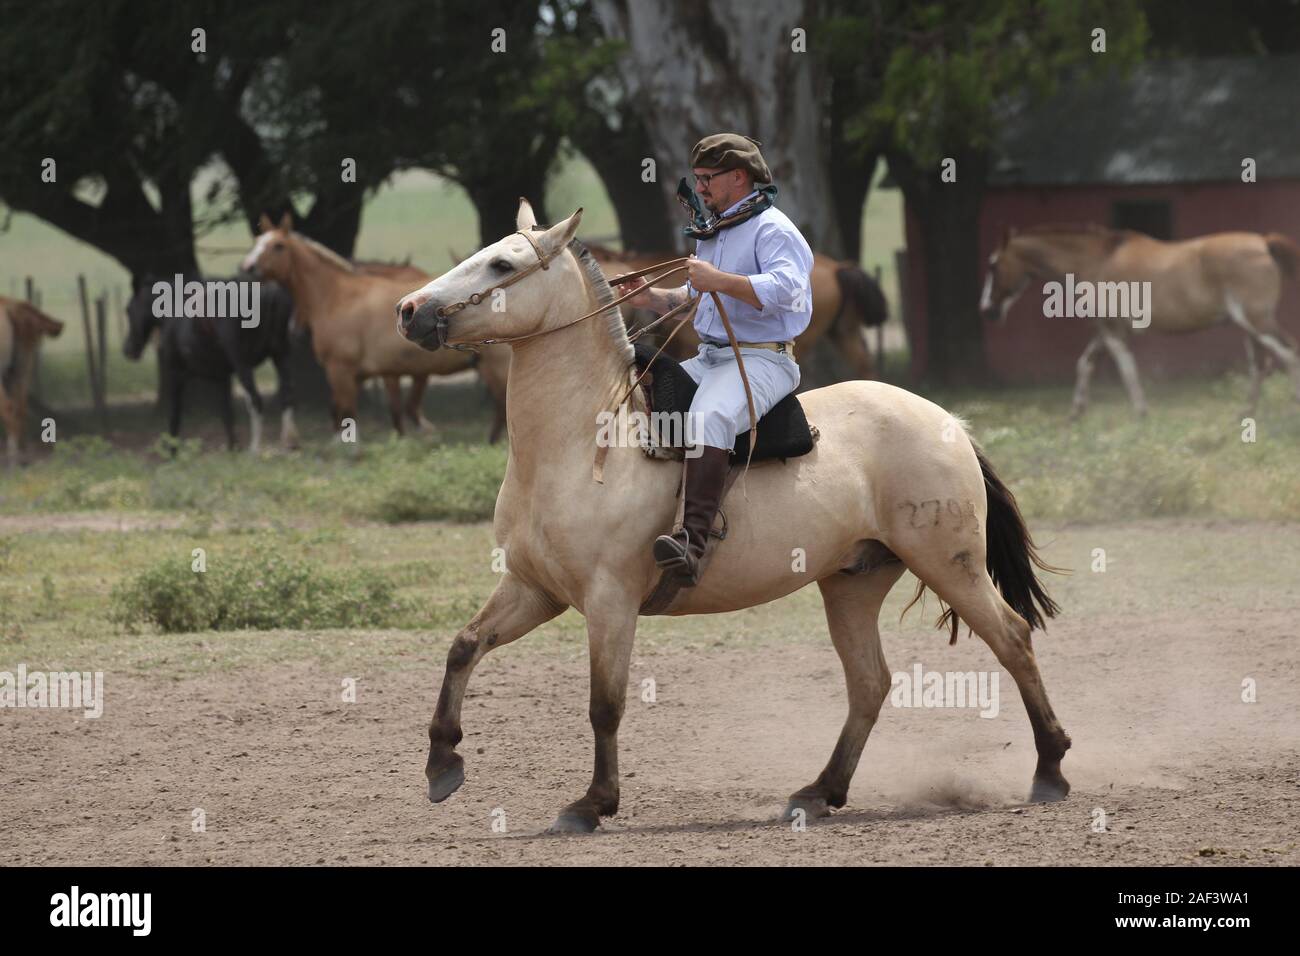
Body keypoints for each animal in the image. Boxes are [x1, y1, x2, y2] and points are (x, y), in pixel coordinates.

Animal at [0, 297, 63, 468]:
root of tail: (11, 306)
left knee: (8, 408)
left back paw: (13, 459)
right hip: (21, 369)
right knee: (20, 408)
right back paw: (22, 456)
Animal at [124, 275, 298, 452]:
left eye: (129, 309)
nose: (128, 350)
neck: (173, 311)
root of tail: (268, 292)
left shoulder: (175, 373)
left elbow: (174, 414)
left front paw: (172, 451)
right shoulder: (222, 377)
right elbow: (227, 413)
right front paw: (233, 449)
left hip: (243, 365)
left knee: (256, 400)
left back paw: (254, 449)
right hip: (281, 356)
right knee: (287, 395)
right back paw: (289, 442)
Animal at [241, 214, 510, 439]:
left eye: (278, 246)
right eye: (256, 242)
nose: (248, 267)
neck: (339, 297)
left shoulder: (341, 369)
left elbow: (348, 413)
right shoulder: (364, 374)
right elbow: (344, 411)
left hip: (496, 367)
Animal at [980, 224, 1300, 418]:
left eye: (993, 265)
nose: (986, 310)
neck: (1096, 261)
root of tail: (1263, 243)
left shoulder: (1111, 328)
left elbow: (1126, 367)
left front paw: (1140, 412)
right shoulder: (1106, 329)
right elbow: (1085, 363)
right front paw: (1076, 412)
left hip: (1257, 321)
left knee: (1288, 353)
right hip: (1249, 327)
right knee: (1260, 365)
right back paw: (1245, 414)